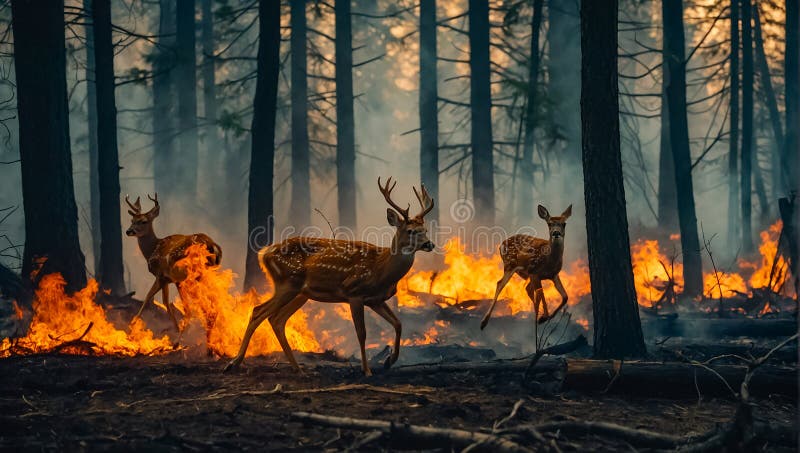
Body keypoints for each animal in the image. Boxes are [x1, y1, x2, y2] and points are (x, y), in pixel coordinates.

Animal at [124, 193, 222, 331]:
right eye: (131, 221)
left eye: (143, 221)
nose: (128, 231)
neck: (152, 249)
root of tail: (212, 244)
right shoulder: (171, 280)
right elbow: (167, 302)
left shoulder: (161, 275)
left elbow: (151, 298)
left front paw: (132, 326)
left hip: (193, 275)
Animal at [224, 177, 435, 376]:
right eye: (410, 231)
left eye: (425, 230)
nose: (430, 244)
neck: (380, 270)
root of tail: (265, 253)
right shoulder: (354, 292)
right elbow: (361, 333)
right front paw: (367, 370)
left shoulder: (375, 299)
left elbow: (398, 324)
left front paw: (389, 361)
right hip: (287, 283)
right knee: (258, 311)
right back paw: (233, 363)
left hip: (301, 293)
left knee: (277, 319)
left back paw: (298, 369)